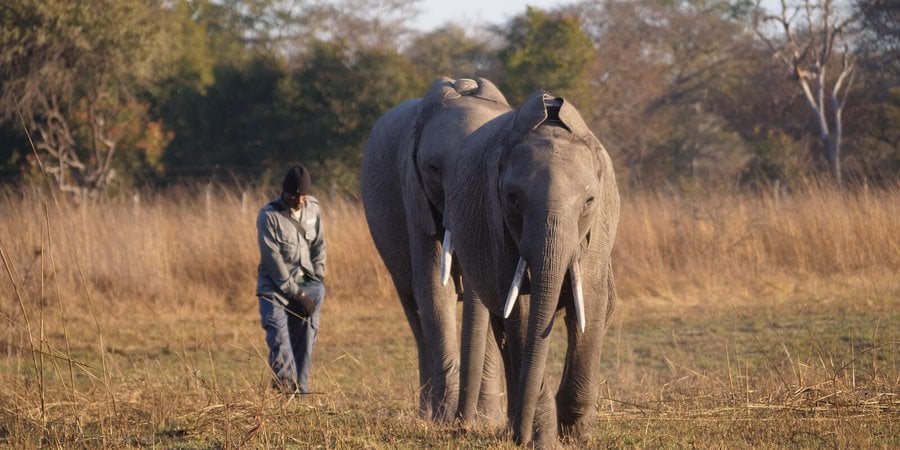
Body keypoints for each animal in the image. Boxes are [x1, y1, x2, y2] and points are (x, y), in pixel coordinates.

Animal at [360, 77, 511, 423]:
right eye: (433, 169)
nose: (462, 423)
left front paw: (487, 422)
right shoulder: (412, 192)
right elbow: (433, 288)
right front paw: (444, 420)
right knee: (413, 306)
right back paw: (426, 413)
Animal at [444, 92, 620, 447]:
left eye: (589, 201)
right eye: (512, 198)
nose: (521, 437)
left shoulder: (598, 231)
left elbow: (590, 308)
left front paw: (575, 438)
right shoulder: (498, 225)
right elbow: (522, 313)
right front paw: (540, 438)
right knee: (503, 330)